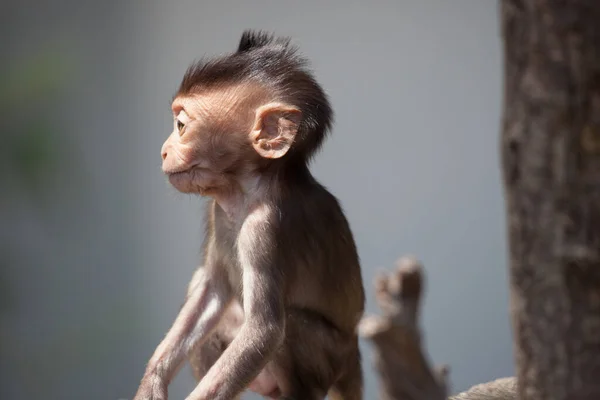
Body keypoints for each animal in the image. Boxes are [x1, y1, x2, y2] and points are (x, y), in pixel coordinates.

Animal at [133, 31, 364, 400]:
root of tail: (353, 350)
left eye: (181, 126)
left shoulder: (265, 228)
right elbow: (210, 289)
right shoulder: (217, 212)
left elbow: (264, 330)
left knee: (290, 324)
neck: (245, 192)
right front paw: (151, 381)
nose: (164, 151)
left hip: (329, 359)